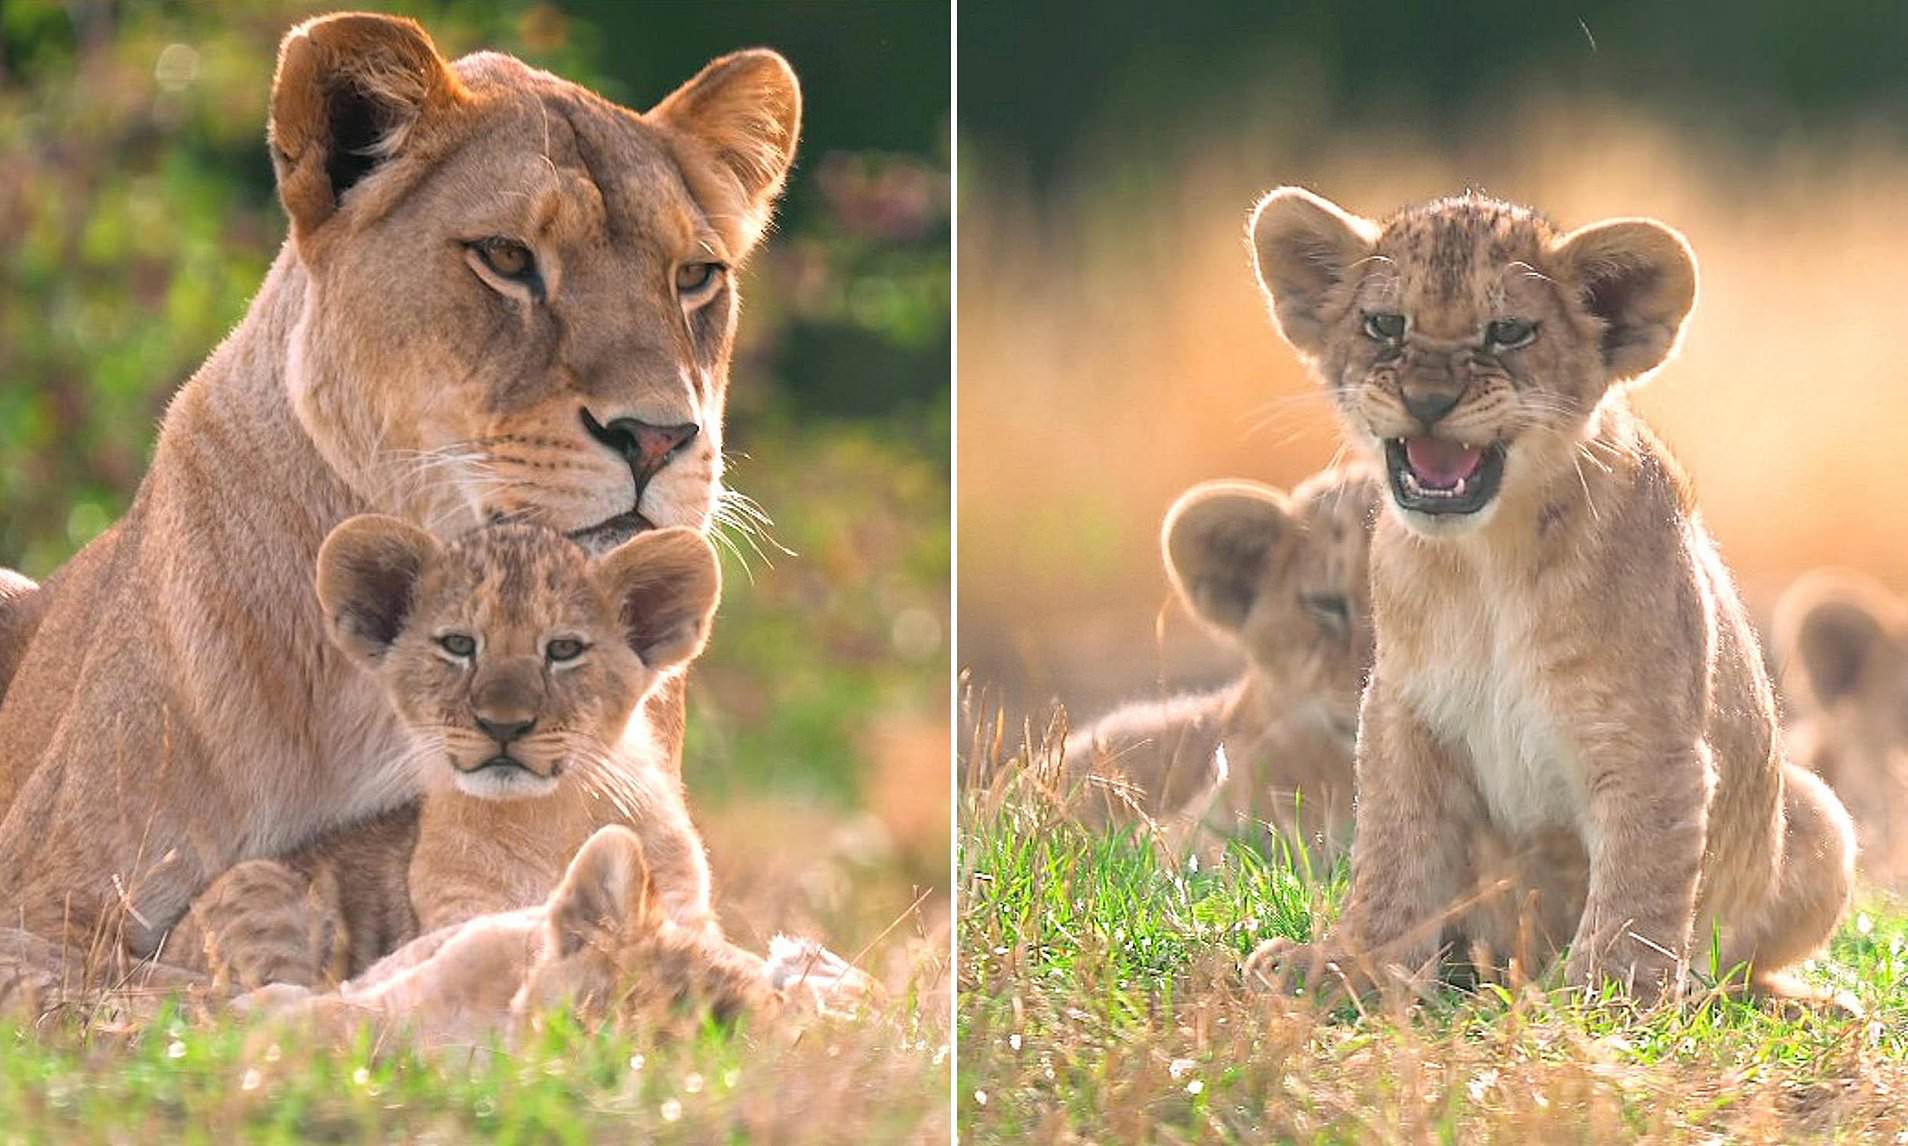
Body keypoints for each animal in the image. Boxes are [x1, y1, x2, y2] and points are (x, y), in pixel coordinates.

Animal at [168, 515, 722, 992]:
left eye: (563, 650)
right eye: (458, 645)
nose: (503, 725)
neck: (553, 817)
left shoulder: (685, 909)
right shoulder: (459, 916)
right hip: (258, 884)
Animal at [1240, 188, 1854, 1005]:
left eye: (1508, 332)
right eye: (1385, 324)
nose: (1427, 399)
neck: (1485, 563)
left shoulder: (1650, 739)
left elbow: (1639, 885)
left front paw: (1607, 998)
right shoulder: (1403, 711)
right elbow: (1394, 854)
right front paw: (1344, 965)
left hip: (1818, 810)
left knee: (1745, 966)